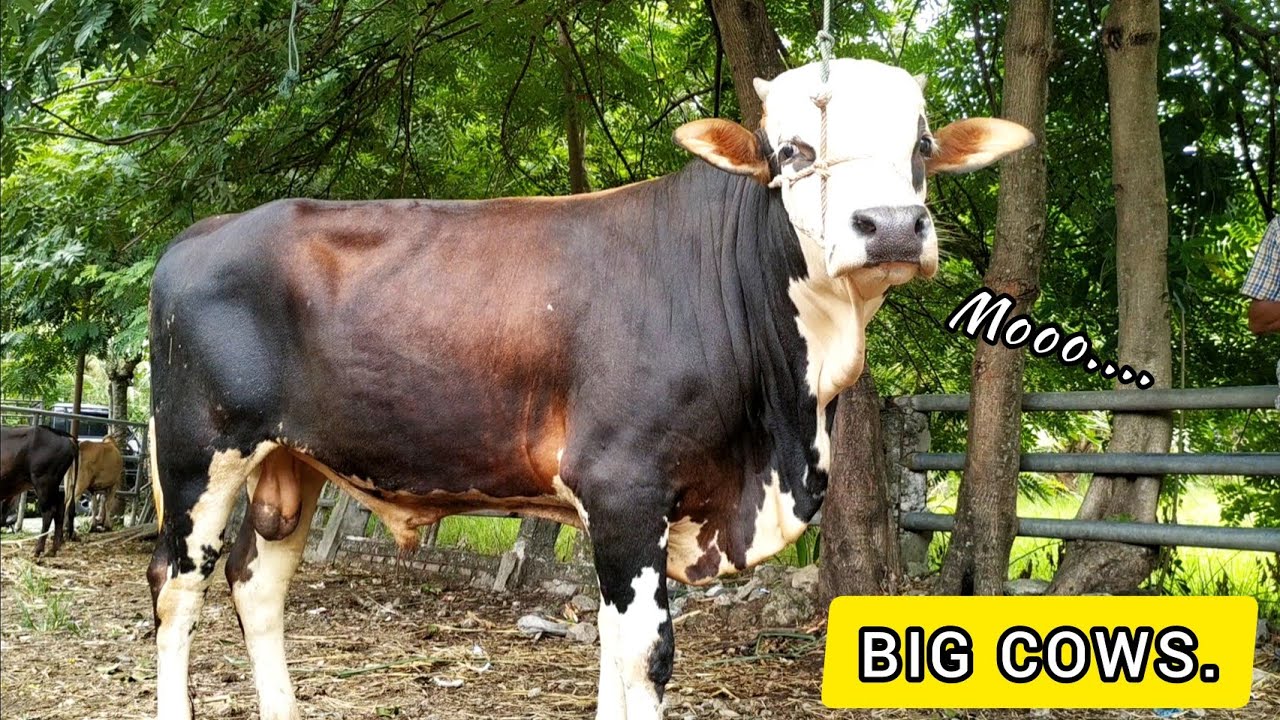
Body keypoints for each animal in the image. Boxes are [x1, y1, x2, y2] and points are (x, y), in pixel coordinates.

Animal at [0, 425, 77, 556]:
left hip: (43, 482)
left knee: (49, 512)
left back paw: (38, 550)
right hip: (54, 485)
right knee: (60, 508)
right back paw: (53, 549)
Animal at [147, 58, 1033, 720]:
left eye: (922, 146)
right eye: (792, 152)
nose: (892, 226)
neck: (785, 429)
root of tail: (208, 232)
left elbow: (612, 648)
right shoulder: (622, 485)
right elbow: (644, 654)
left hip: (285, 462)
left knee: (257, 586)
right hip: (199, 455)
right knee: (176, 587)